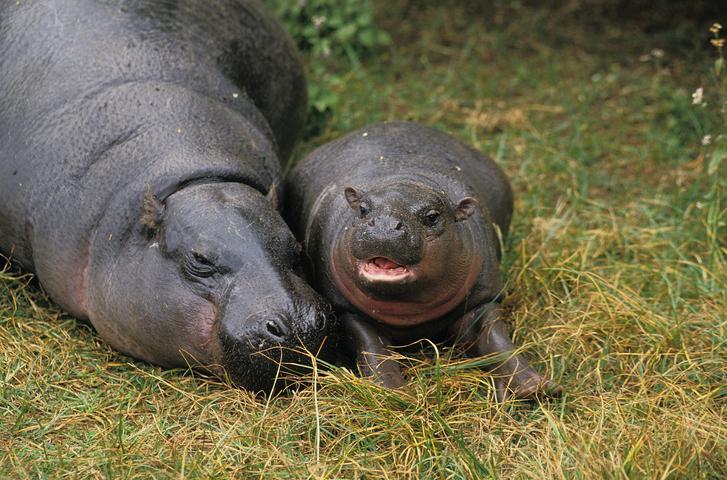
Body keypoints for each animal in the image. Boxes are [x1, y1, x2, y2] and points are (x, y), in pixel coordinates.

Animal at [285, 122, 562, 400]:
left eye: (432, 216)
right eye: (362, 209)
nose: (385, 225)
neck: (405, 178)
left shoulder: (481, 298)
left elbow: (495, 337)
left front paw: (537, 388)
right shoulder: (347, 309)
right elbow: (372, 349)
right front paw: (393, 394)